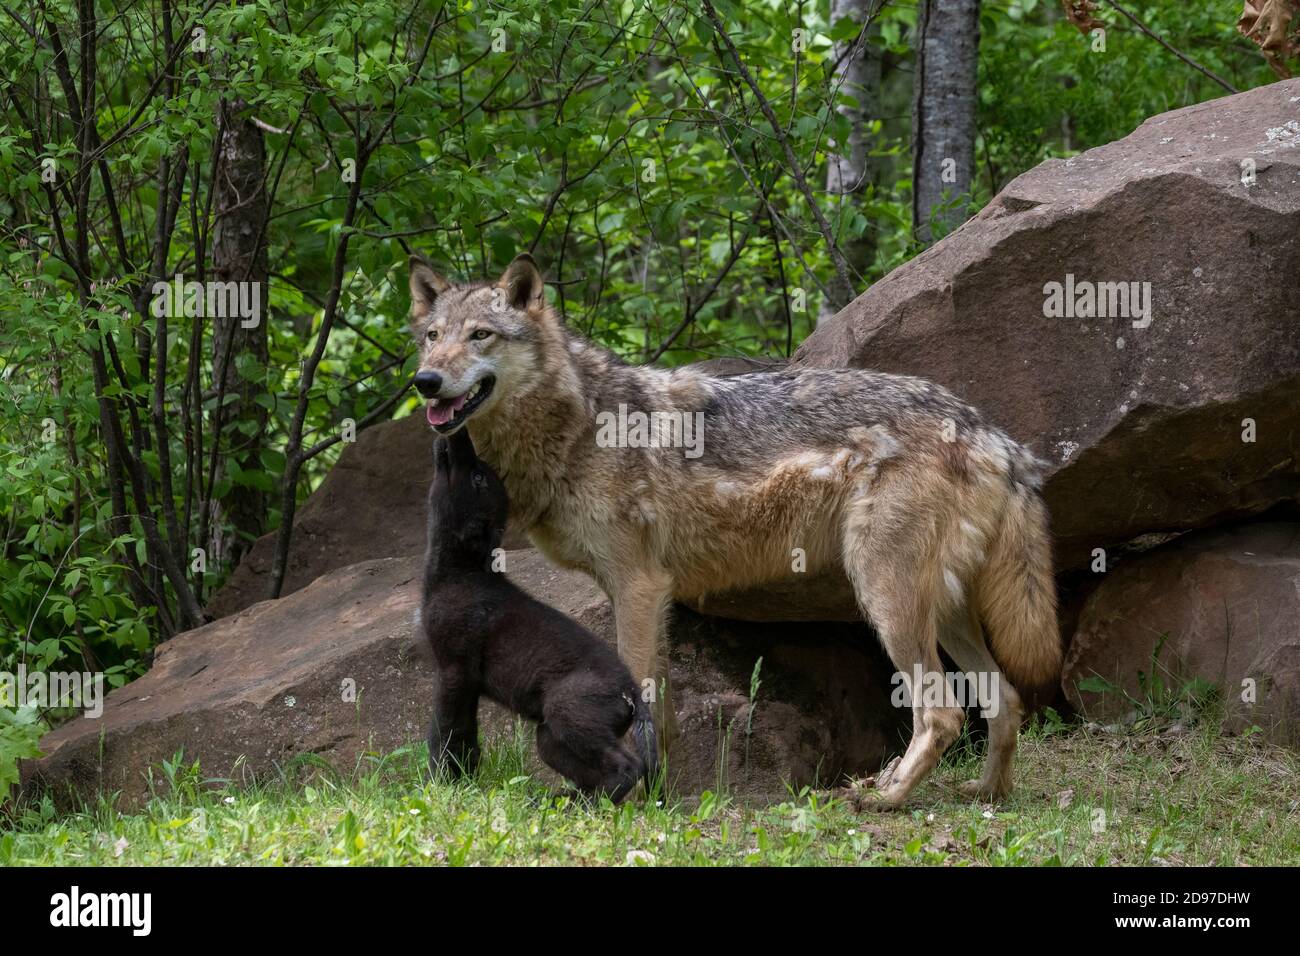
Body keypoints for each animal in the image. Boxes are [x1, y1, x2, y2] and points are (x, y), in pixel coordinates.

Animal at [420, 426, 657, 803]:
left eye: (476, 477)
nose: (459, 435)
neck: (459, 571)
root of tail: (634, 691)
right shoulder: (468, 684)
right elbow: (466, 738)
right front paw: (462, 783)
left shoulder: (453, 670)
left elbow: (443, 734)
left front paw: (438, 787)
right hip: (549, 738)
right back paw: (567, 803)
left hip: (566, 711)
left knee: (627, 766)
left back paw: (589, 806)